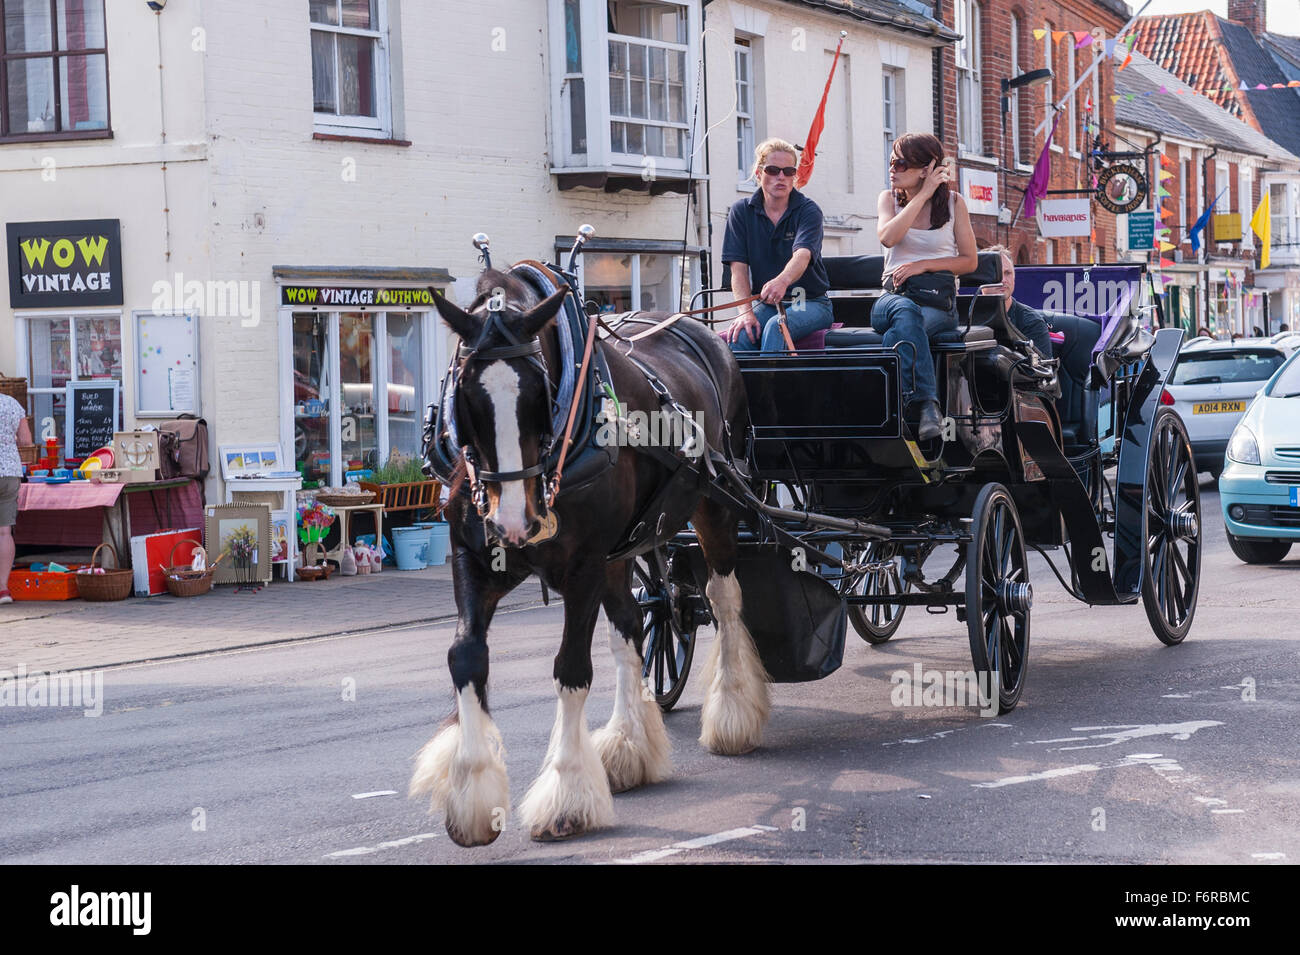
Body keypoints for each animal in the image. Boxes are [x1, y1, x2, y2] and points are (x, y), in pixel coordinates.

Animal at [410, 263, 764, 841]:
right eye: (466, 392)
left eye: (539, 390)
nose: (515, 522)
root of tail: (707, 333)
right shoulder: (474, 557)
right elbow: (466, 657)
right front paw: (470, 789)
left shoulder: (582, 569)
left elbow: (571, 669)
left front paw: (567, 793)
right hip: (621, 554)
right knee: (632, 629)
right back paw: (628, 746)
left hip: (714, 505)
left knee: (725, 600)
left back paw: (733, 714)